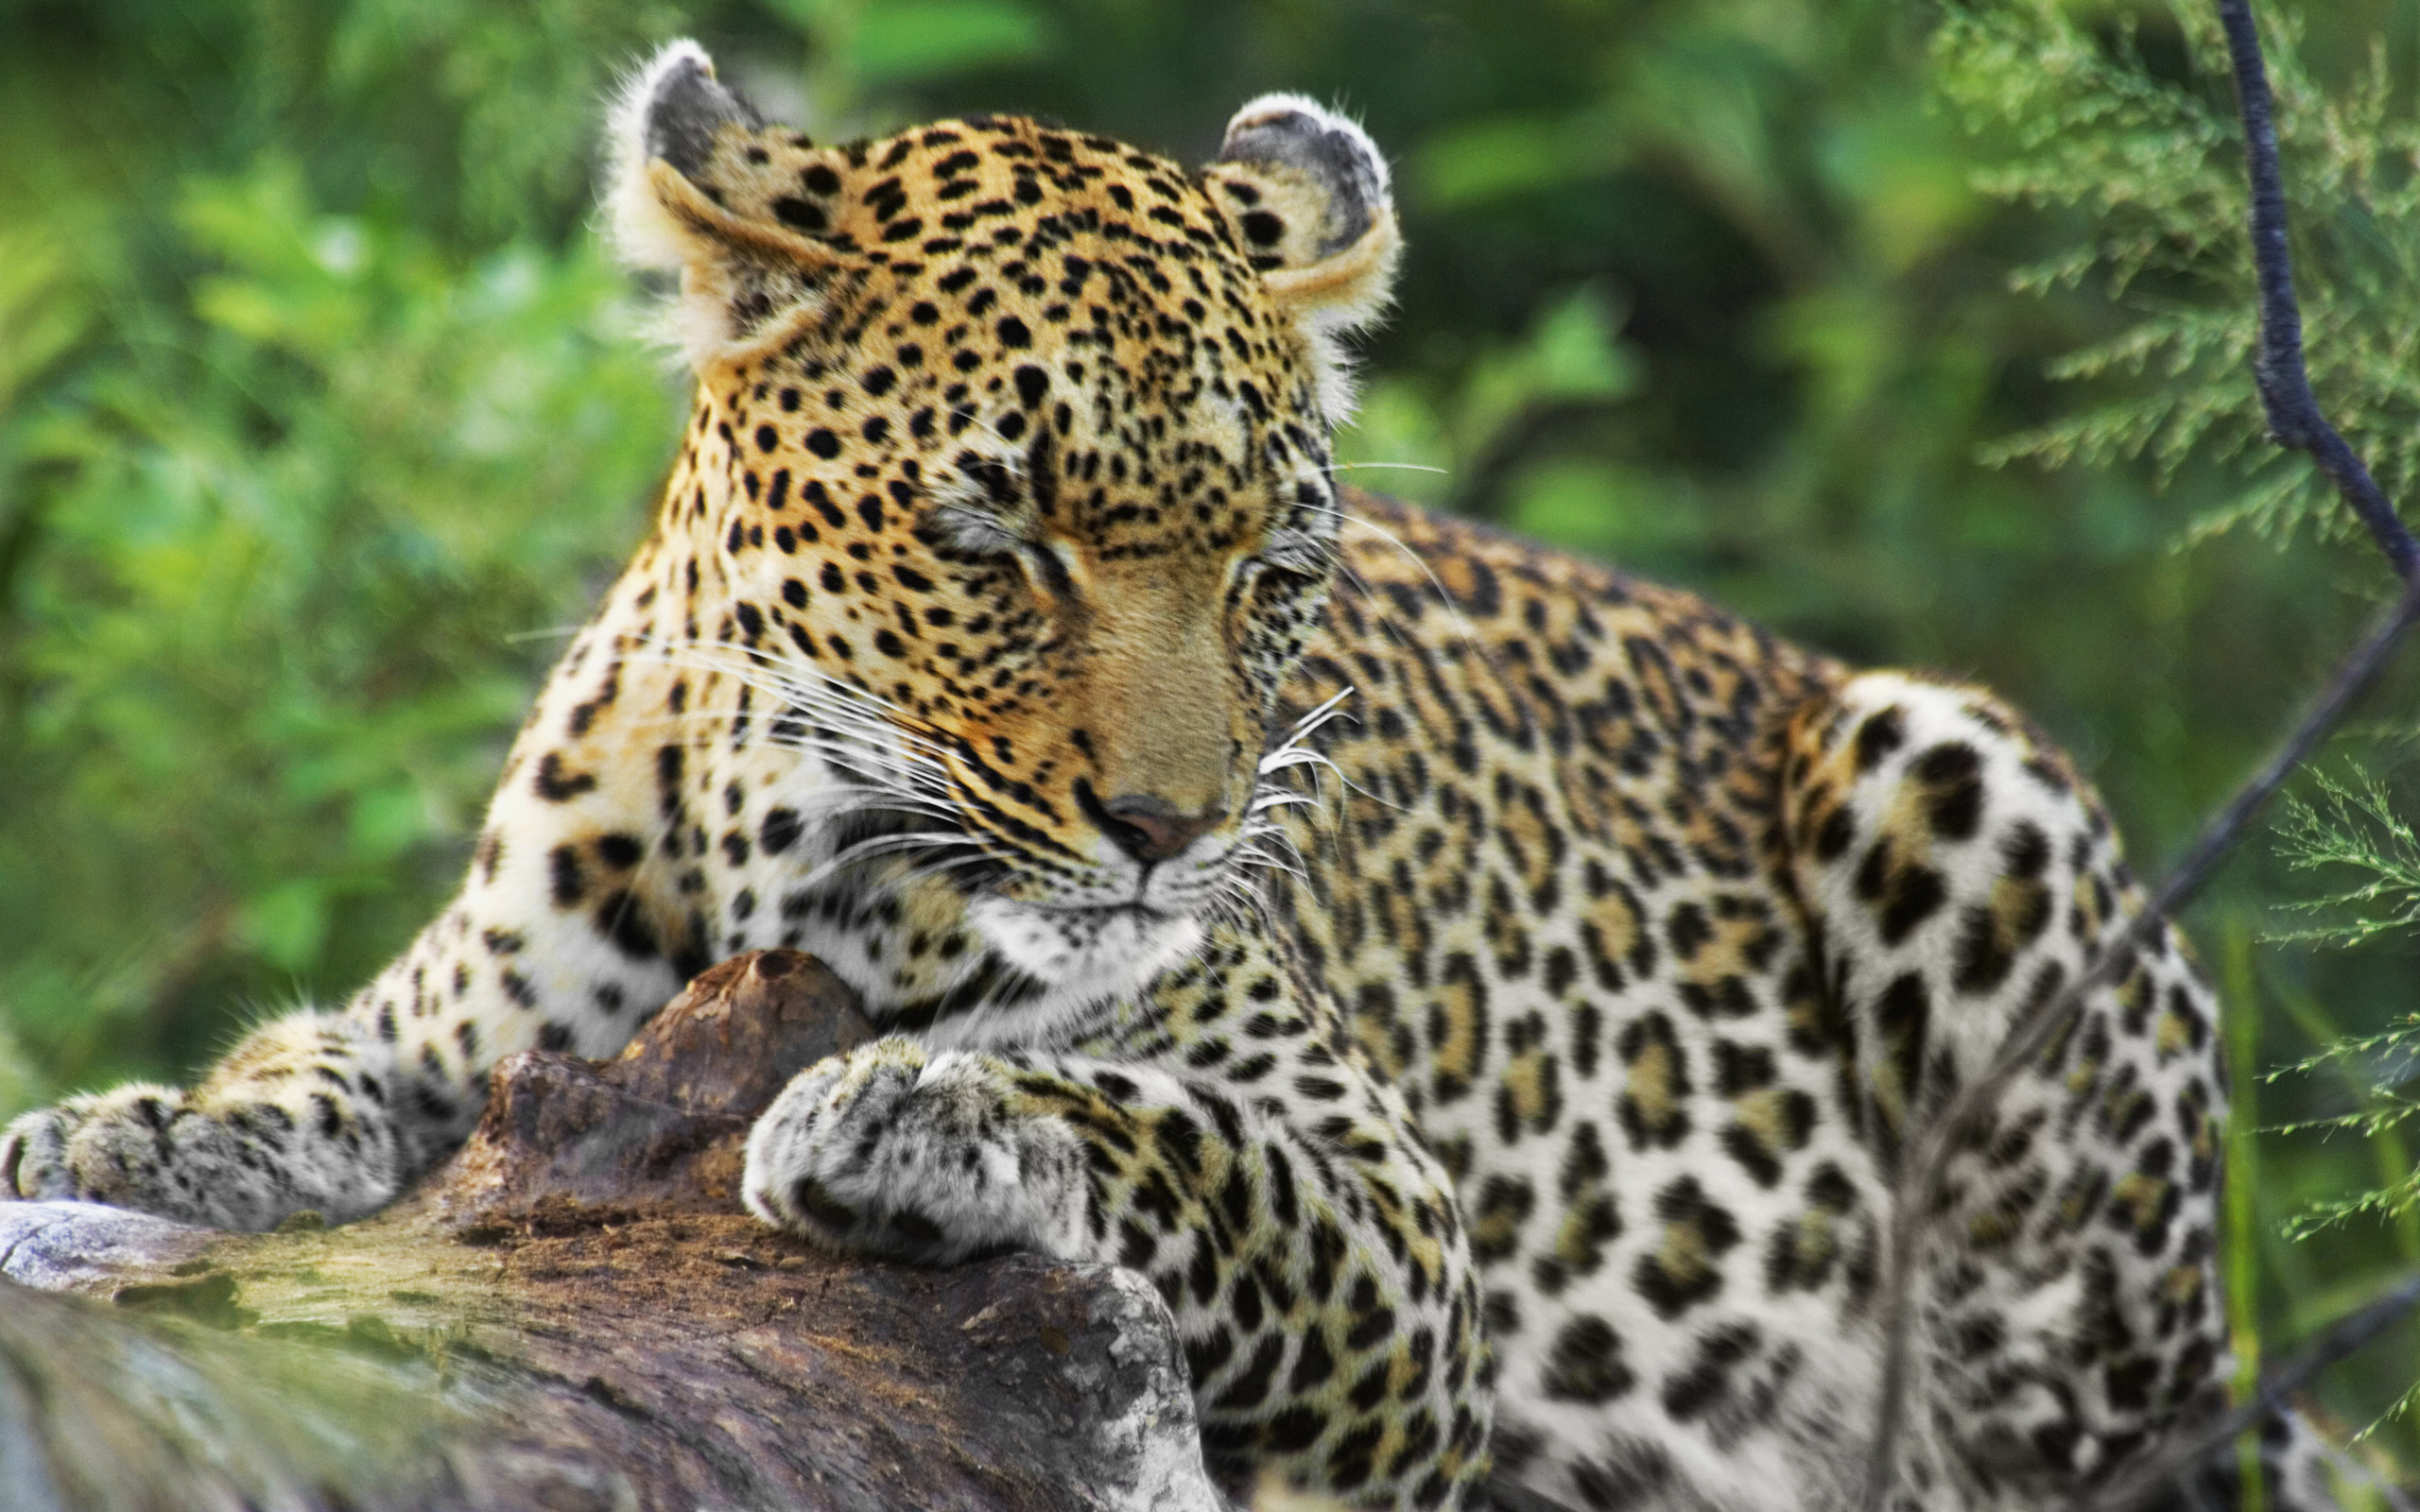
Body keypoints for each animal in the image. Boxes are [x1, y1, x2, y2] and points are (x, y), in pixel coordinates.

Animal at [0, 41, 2333, 1512]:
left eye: (1272, 569)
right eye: (995, 539)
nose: (1170, 833)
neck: (796, 859)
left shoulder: (1397, 1228)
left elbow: (1176, 1140)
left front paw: (914, 1111)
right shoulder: (483, 1010)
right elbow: (335, 1068)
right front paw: (143, 1126)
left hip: (1956, 789)